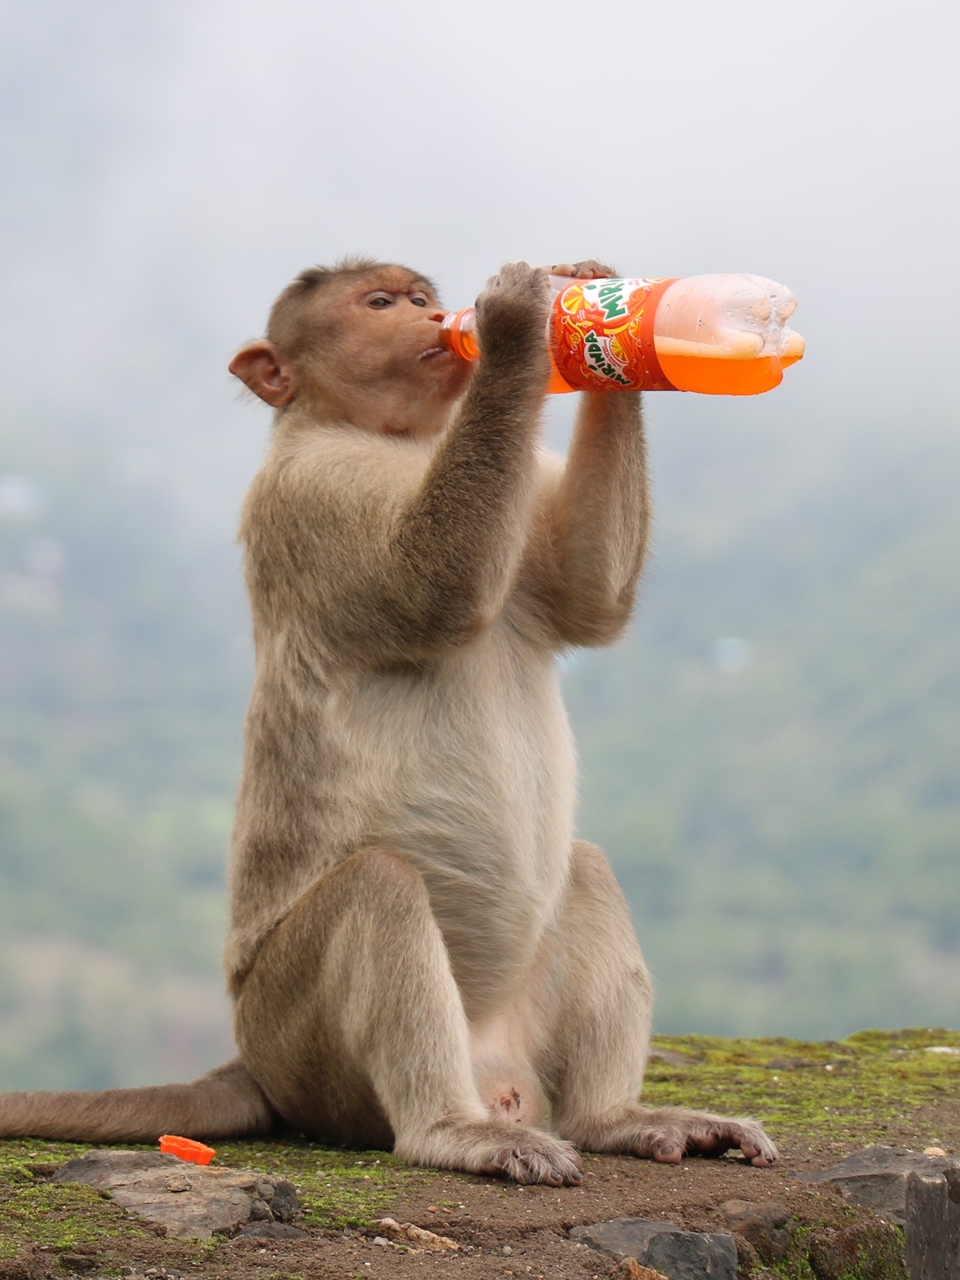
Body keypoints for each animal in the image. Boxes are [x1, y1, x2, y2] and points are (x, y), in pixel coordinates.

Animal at [0, 258, 776, 1183]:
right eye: (379, 303)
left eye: (417, 298)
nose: (434, 317)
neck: (389, 435)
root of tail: (254, 1062)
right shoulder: (309, 491)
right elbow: (432, 589)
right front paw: (515, 323)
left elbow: (586, 597)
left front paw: (597, 307)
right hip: (303, 1043)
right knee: (378, 887)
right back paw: (447, 1129)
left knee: (581, 866)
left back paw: (611, 1116)